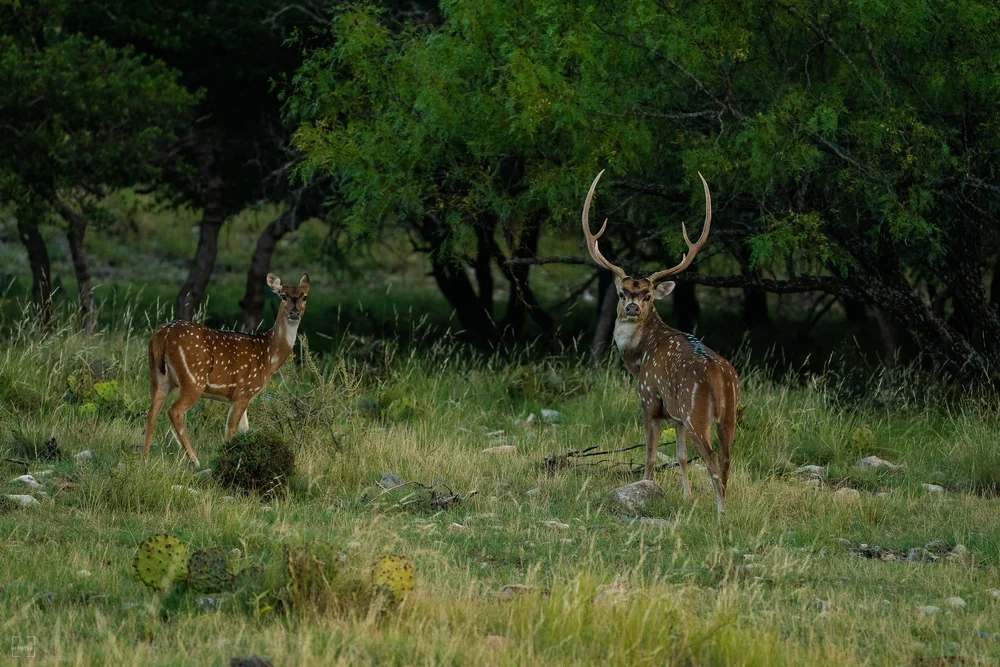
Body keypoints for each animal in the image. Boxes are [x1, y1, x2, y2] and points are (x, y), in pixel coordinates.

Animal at [143, 273, 310, 468]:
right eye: (283, 296)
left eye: (304, 296)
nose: (294, 313)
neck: (268, 356)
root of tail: (162, 335)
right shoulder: (243, 391)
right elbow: (231, 430)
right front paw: (226, 460)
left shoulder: (242, 396)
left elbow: (245, 431)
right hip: (194, 378)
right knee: (174, 412)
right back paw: (195, 460)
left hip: (158, 376)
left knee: (151, 412)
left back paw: (145, 459)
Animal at [582, 170, 740, 514]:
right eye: (622, 292)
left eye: (648, 296)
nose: (632, 308)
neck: (639, 358)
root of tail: (720, 377)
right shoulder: (676, 416)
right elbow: (680, 457)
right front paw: (687, 496)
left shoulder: (649, 400)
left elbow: (651, 455)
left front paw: (644, 489)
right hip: (729, 413)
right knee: (726, 457)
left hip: (697, 412)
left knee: (710, 457)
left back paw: (721, 510)